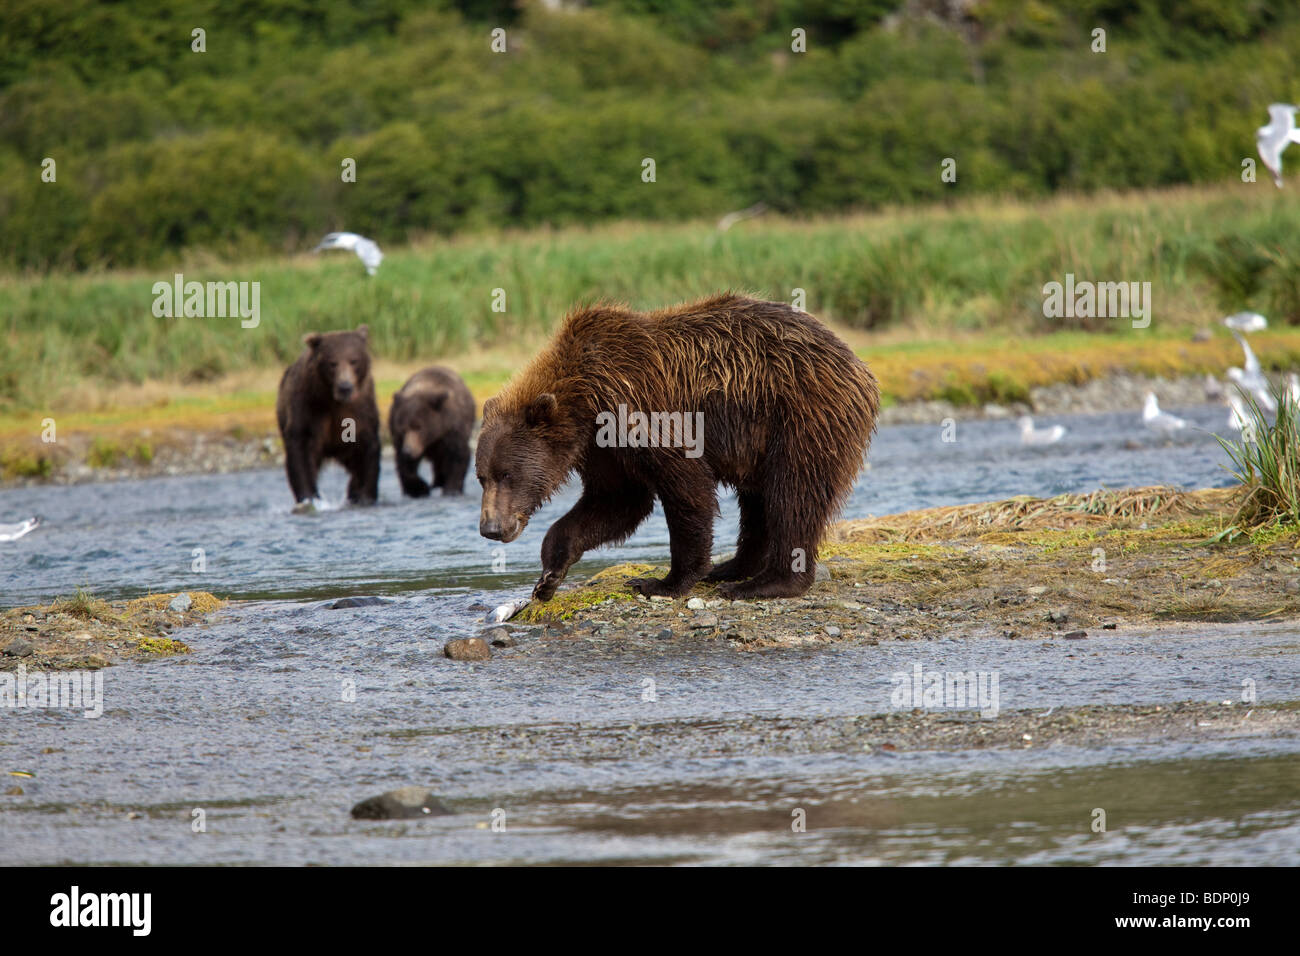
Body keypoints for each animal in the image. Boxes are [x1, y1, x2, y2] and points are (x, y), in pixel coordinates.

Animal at [275, 325, 381, 507]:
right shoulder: (307, 408)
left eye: (354, 360)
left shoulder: (361, 410)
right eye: (332, 363)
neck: (333, 401)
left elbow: (368, 446)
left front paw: (364, 495)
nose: (345, 387)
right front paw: (308, 496)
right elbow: (300, 450)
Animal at [389, 366, 476, 497]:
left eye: (418, 426)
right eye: (403, 428)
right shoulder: (400, 438)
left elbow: (457, 455)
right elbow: (404, 465)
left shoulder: (452, 430)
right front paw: (420, 488)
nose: (408, 451)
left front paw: (452, 489)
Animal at [475, 293, 880, 602]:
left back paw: (764, 582)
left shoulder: (643, 409)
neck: (587, 403)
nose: (491, 528)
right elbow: (616, 501)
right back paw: (732, 567)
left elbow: (687, 488)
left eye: (507, 474)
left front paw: (664, 581)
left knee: (793, 493)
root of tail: (858, 364)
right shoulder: (602, 450)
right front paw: (549, 575)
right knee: (759, 500)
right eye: (482, 477)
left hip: (802, 415)